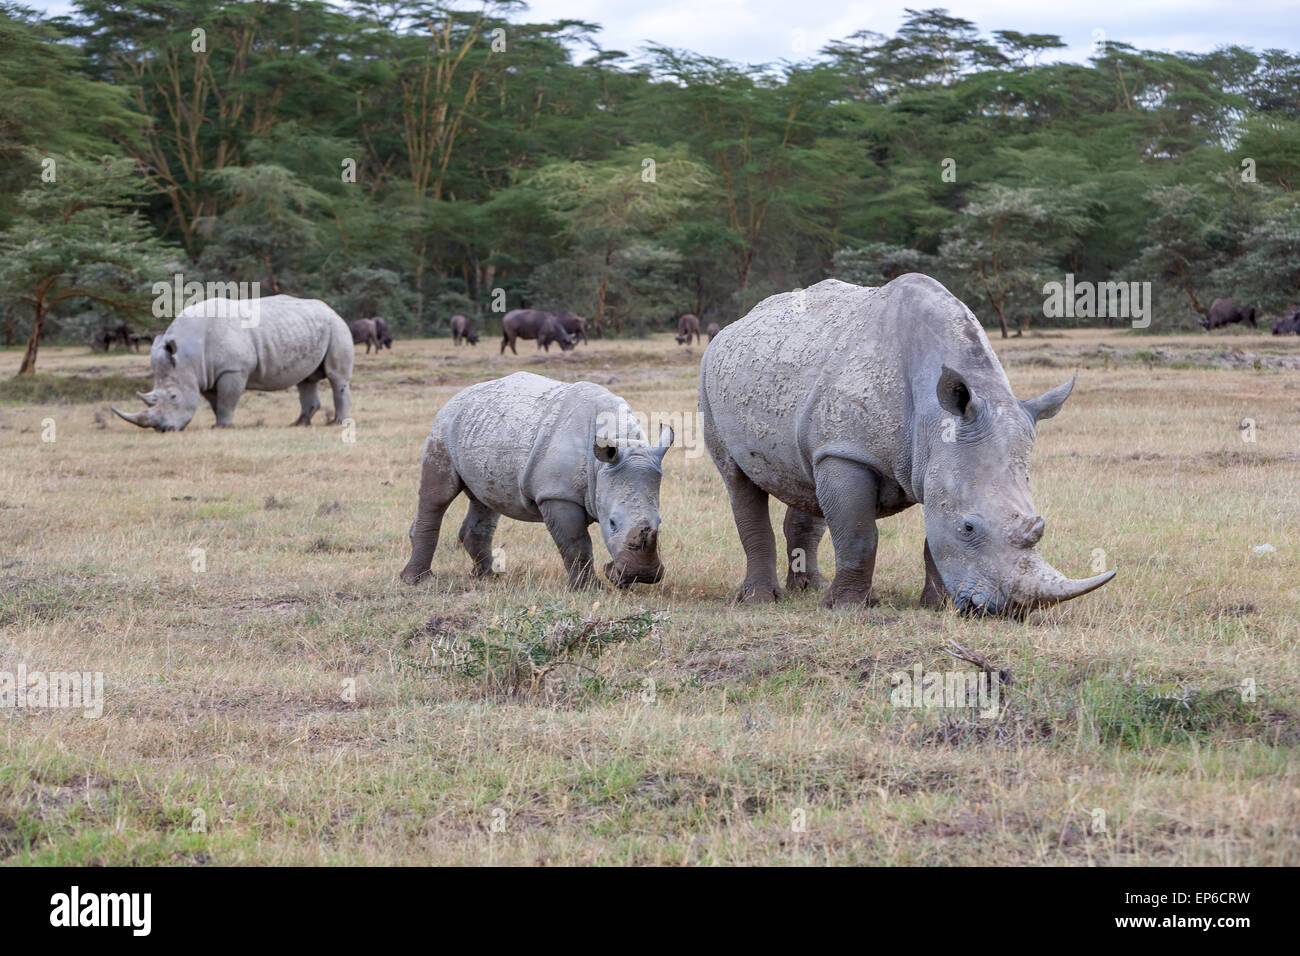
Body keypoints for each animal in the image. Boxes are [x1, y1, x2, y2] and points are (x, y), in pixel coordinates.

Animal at [113, 295, 354, 431]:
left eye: (173, 397)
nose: (163, 429)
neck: (188, 356)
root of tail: (330, 309)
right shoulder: (205, 374)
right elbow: (215, 402)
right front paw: (217, 424)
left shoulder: (233, 370)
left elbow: (227, 399)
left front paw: (224, 426)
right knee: (306, 380)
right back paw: (298, 424)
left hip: (337, 327)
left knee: (336, 377)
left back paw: (336, 423)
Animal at [400, 372, 672, 589]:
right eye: (612, 523)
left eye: (660, 522)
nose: (643, 576)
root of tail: (459, 395)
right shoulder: (556, 495)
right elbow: (576, 543)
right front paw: (589, 589)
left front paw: (623, 583)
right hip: (443, 426)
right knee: (438, 496)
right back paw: (418, 580)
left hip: (482, 431)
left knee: (485, 501)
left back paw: (487, 577)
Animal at [699, 274, 1115, 617]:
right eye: (968, 528)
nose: (1009, 611)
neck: (936, 421)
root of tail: (734, 325)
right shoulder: (848, 452)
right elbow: (859, 535)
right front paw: (846, 610)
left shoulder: (934, 463)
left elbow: (931, 537)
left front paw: (936, 606)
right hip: (709, 375)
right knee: (737, 478)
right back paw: (760, 600)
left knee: (805, 479)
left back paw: (810, 588)